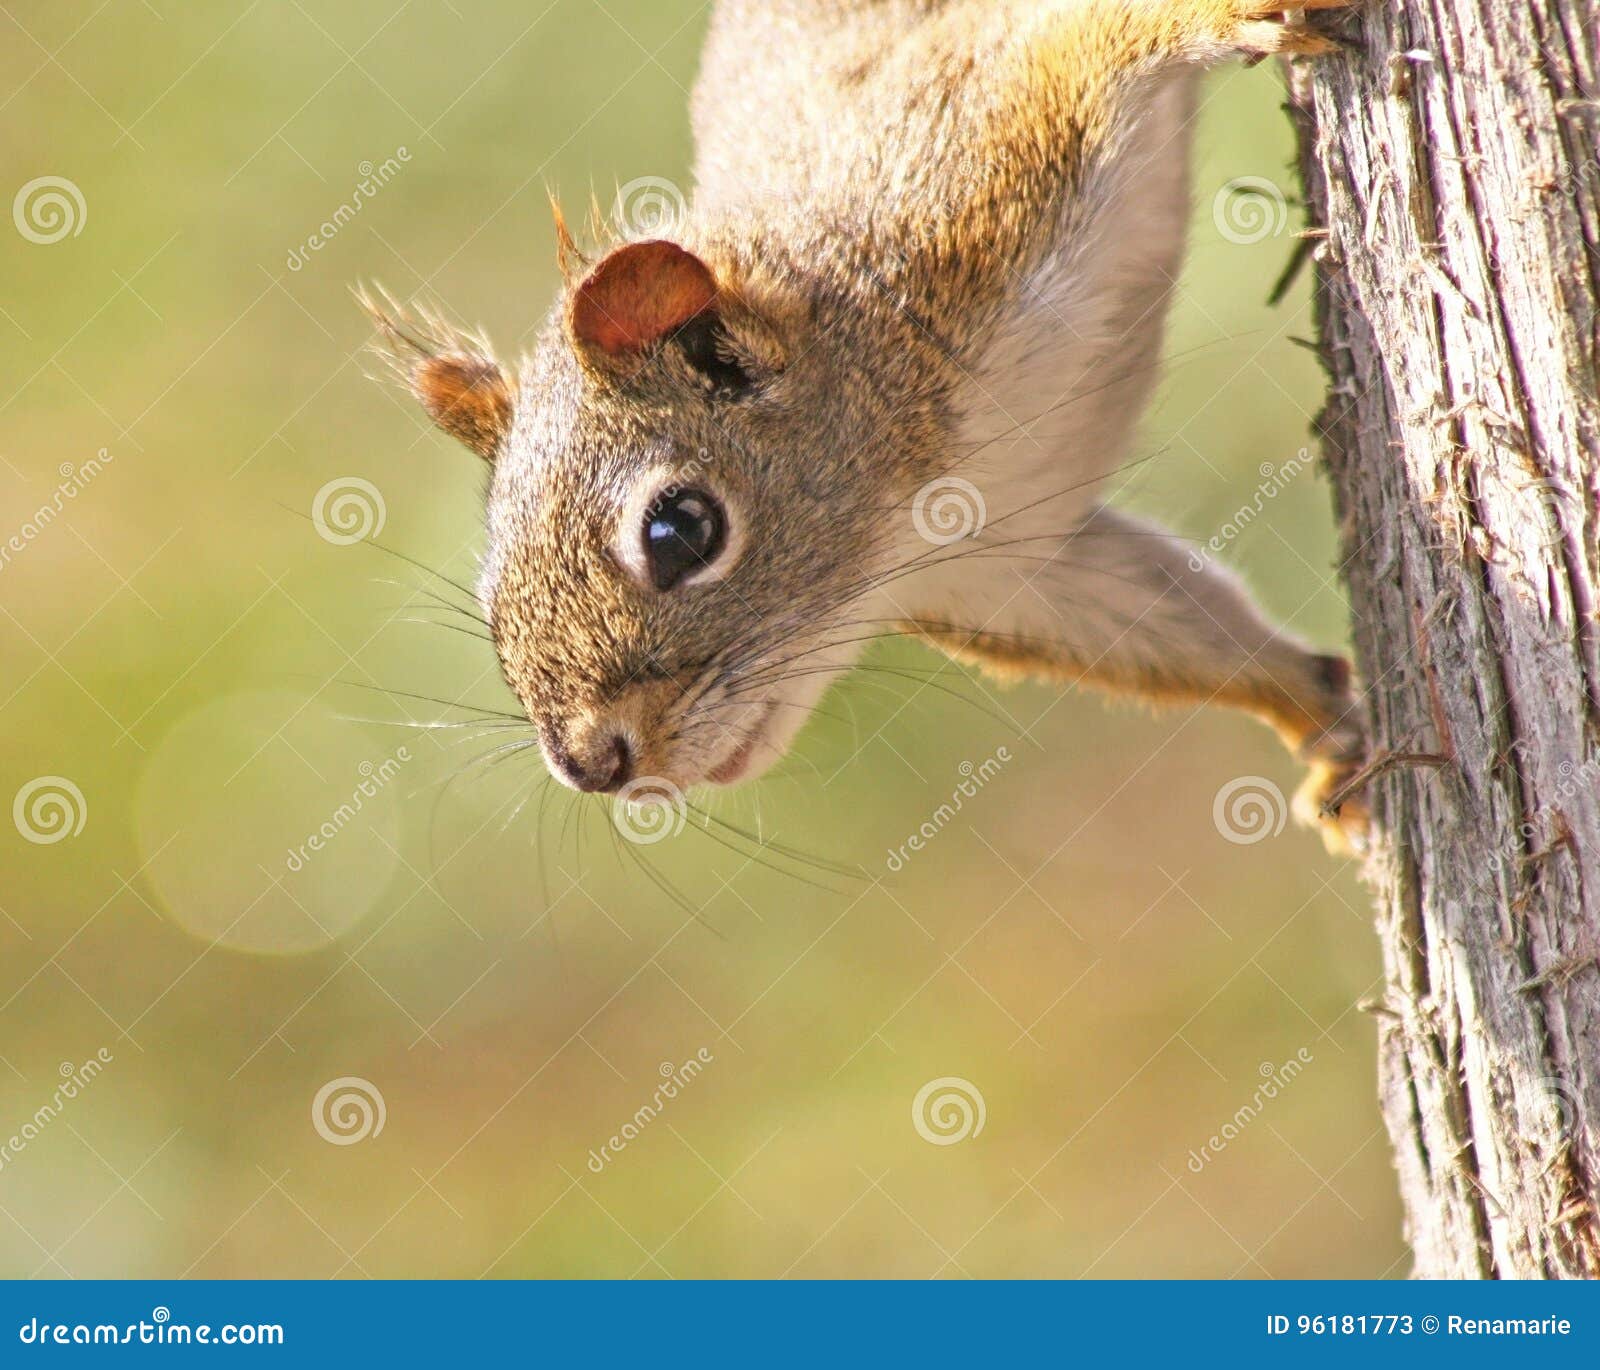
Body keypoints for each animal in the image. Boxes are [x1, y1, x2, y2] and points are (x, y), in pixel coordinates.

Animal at [362, 0, 1368, 854]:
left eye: (680, 531)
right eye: (488, 598)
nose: (591, 765)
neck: (913, 497)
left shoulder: (983, 153)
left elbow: (1095, 40)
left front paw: (1232, 14)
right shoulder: (1012, 572)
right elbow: (1175, 627)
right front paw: (1319, 720)